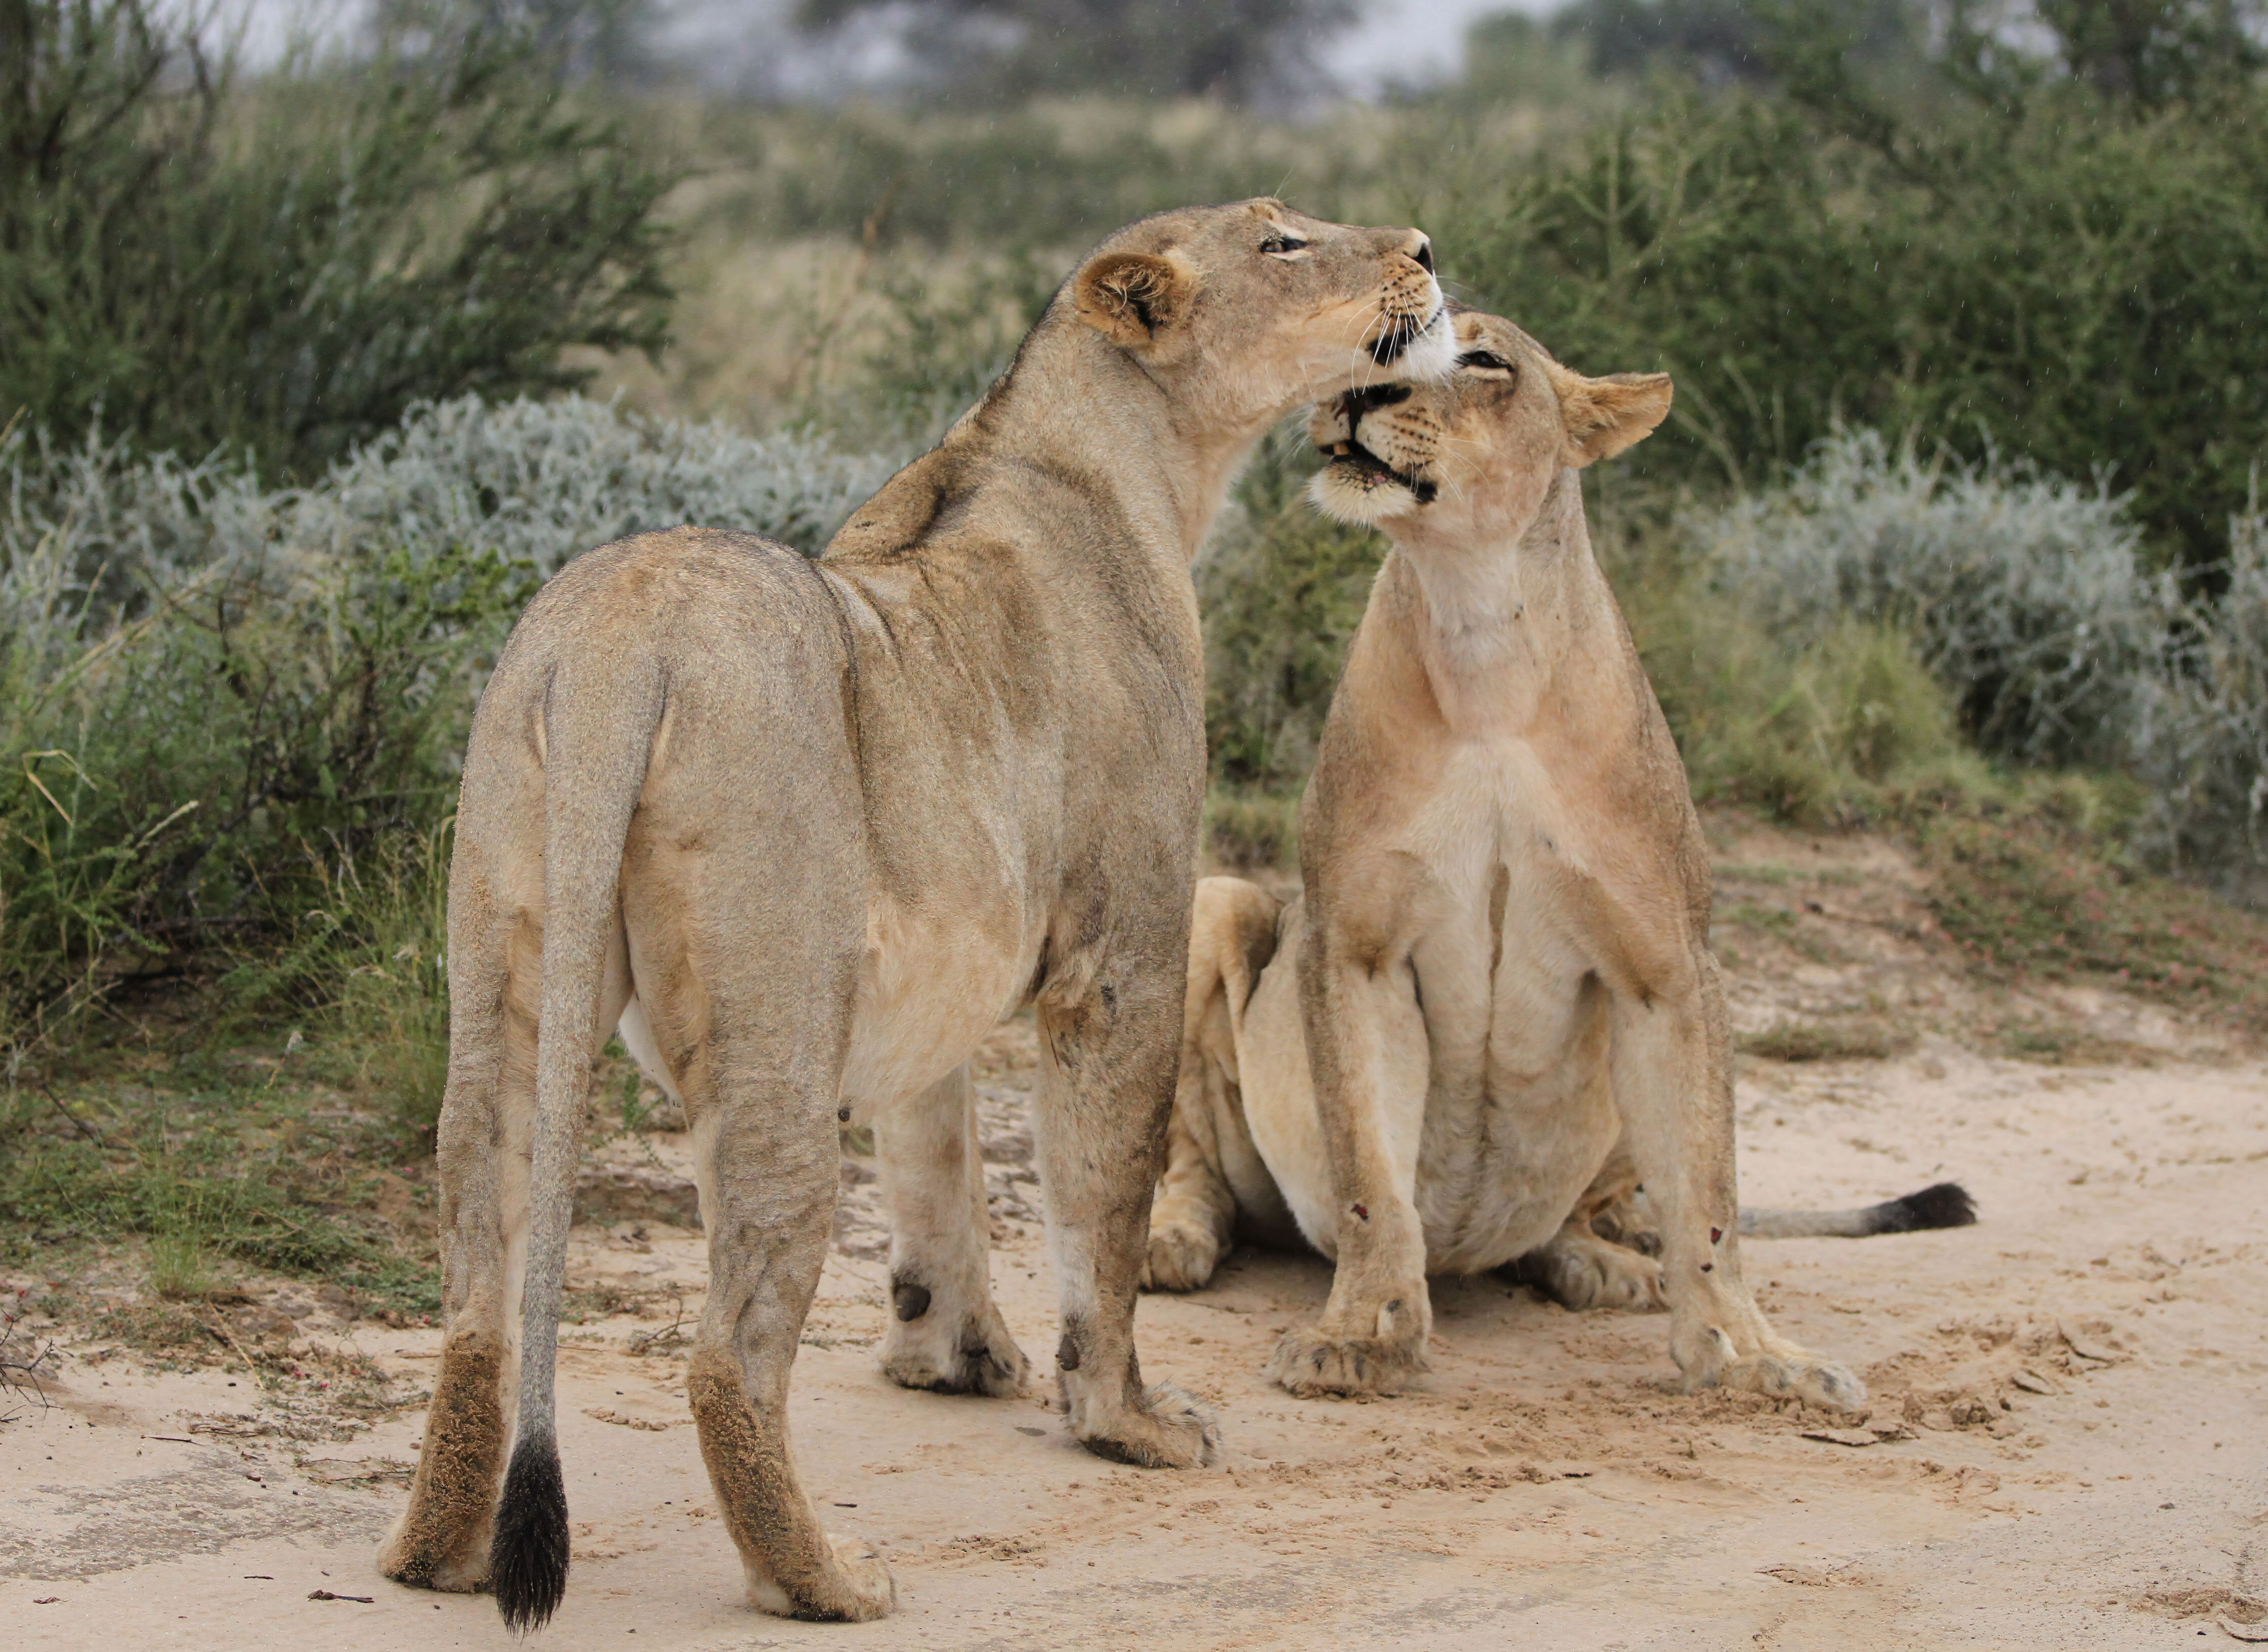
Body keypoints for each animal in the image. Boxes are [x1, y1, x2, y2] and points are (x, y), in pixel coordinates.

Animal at [375, 201, 1455, 1630]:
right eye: (1281, 241)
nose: (1425, 249)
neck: (1129, 463)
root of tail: (621, 633)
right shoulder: (1119, 950)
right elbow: (1102, 1203)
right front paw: (1126, 1420)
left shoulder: (942, 964)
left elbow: (935, 1161)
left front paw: (954, 1353)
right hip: (778, 1028)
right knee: (726, 1357)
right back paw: (825, 1581)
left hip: (503, 968)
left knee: (478, 1295)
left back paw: (434, 1552)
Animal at [1143, 311, 1973, 1409]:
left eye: (1482, 358)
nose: (1359, 392)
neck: (1481, 640)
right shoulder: (1353, 945)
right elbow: (1370, 1180)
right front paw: (1362, 1334)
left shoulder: (1669, 969)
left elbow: (1709, 1194)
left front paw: (1753, 1357)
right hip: (1219, 902)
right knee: (1192, 1160)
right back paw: (1167, 1244)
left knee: (1593, 1213)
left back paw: (1601, 1266)